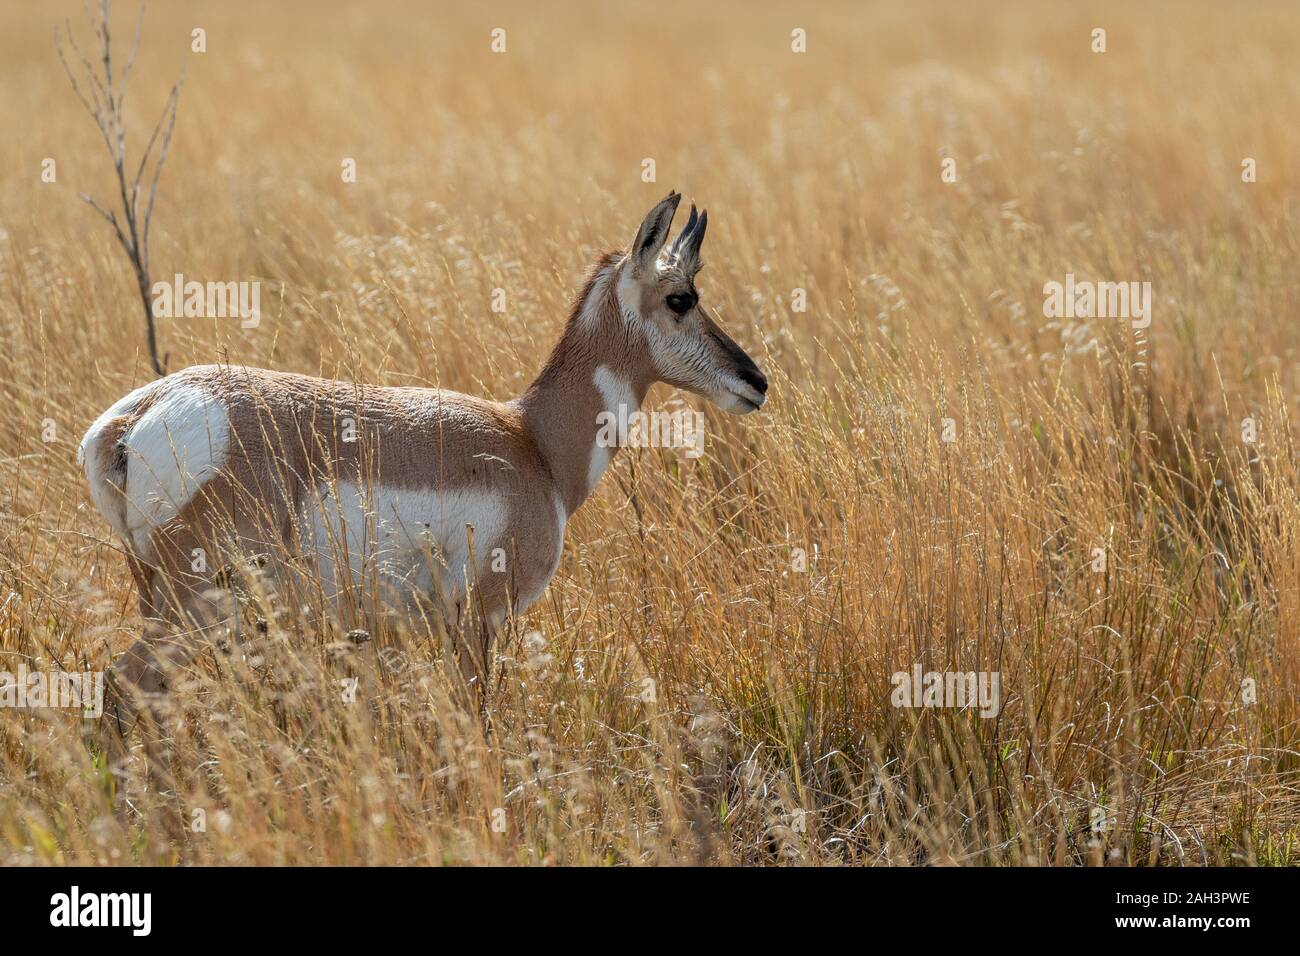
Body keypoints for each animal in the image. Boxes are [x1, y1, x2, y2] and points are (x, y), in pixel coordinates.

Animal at [79, 191, 768, 720]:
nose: (755, 380)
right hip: (191, 604)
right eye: (681, 297)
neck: (531, 439)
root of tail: (134, 416)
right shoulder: (478, 622)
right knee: (122, 684)